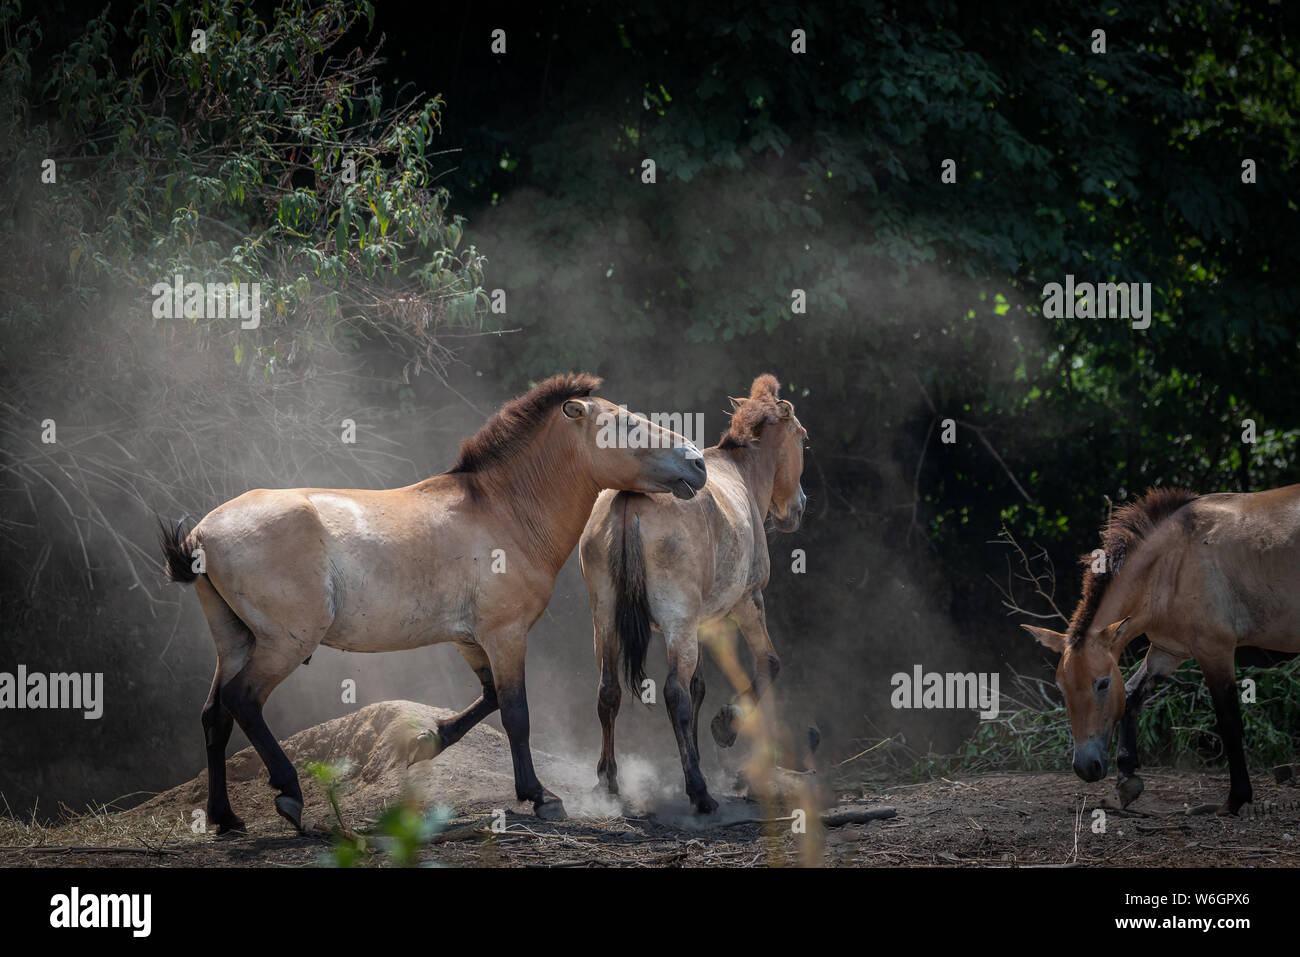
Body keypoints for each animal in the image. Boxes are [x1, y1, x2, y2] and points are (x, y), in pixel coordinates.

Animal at [158, 373, 707, 831]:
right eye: (626, 425)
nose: (697, 463)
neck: (503, 511)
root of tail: (203, 533)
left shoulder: (471, 640)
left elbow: (487, 700)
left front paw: (428, 742)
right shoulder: (505, 636)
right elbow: (516, 713)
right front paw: (539, 796)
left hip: (235, 640)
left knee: (215, 714)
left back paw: (224, 817)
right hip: (283, 644)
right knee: (243, 701)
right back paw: (289, 793)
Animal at [578, 374, 807, 812]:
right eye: (802, 438)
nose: (799, 506)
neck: (741, 474)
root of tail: (629, 502)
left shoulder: (702, 624)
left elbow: (699, 688)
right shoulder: (747, 602)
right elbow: (767, 664)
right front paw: (726, 725)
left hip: (605, 620)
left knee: (608, 691)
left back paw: (608, 782)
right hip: (678, 623)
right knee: (674, 694)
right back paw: (698, 792)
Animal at [1022, 484, 1300, 815]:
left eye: (1102, 684)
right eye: (1062, 689)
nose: (1086, 767)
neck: (1173, 562)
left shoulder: (1214, 651)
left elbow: (1229, 721)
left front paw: (1236, 798)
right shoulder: (1167, 651)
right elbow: (1131, 695)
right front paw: (1127, 780)